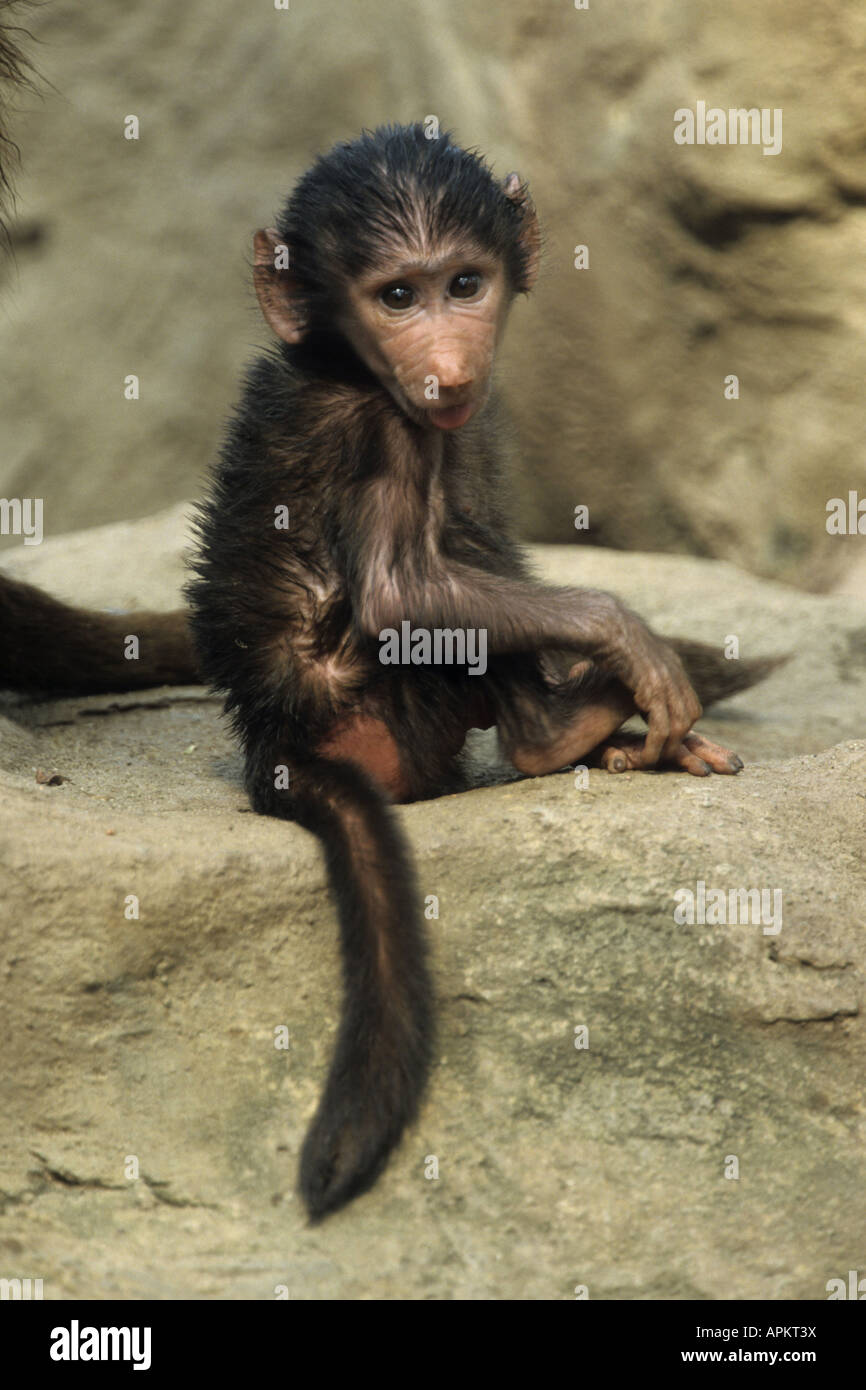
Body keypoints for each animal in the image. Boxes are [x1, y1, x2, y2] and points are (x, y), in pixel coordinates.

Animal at [0, 109, 782, 1220]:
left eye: (463, 283)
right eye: (395, 297)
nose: (446, 354)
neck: (341, 359)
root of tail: (273, 742)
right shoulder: (384, 428)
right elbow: (403, 593)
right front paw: (630, 642)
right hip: (382, 712)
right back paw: (562, 729)